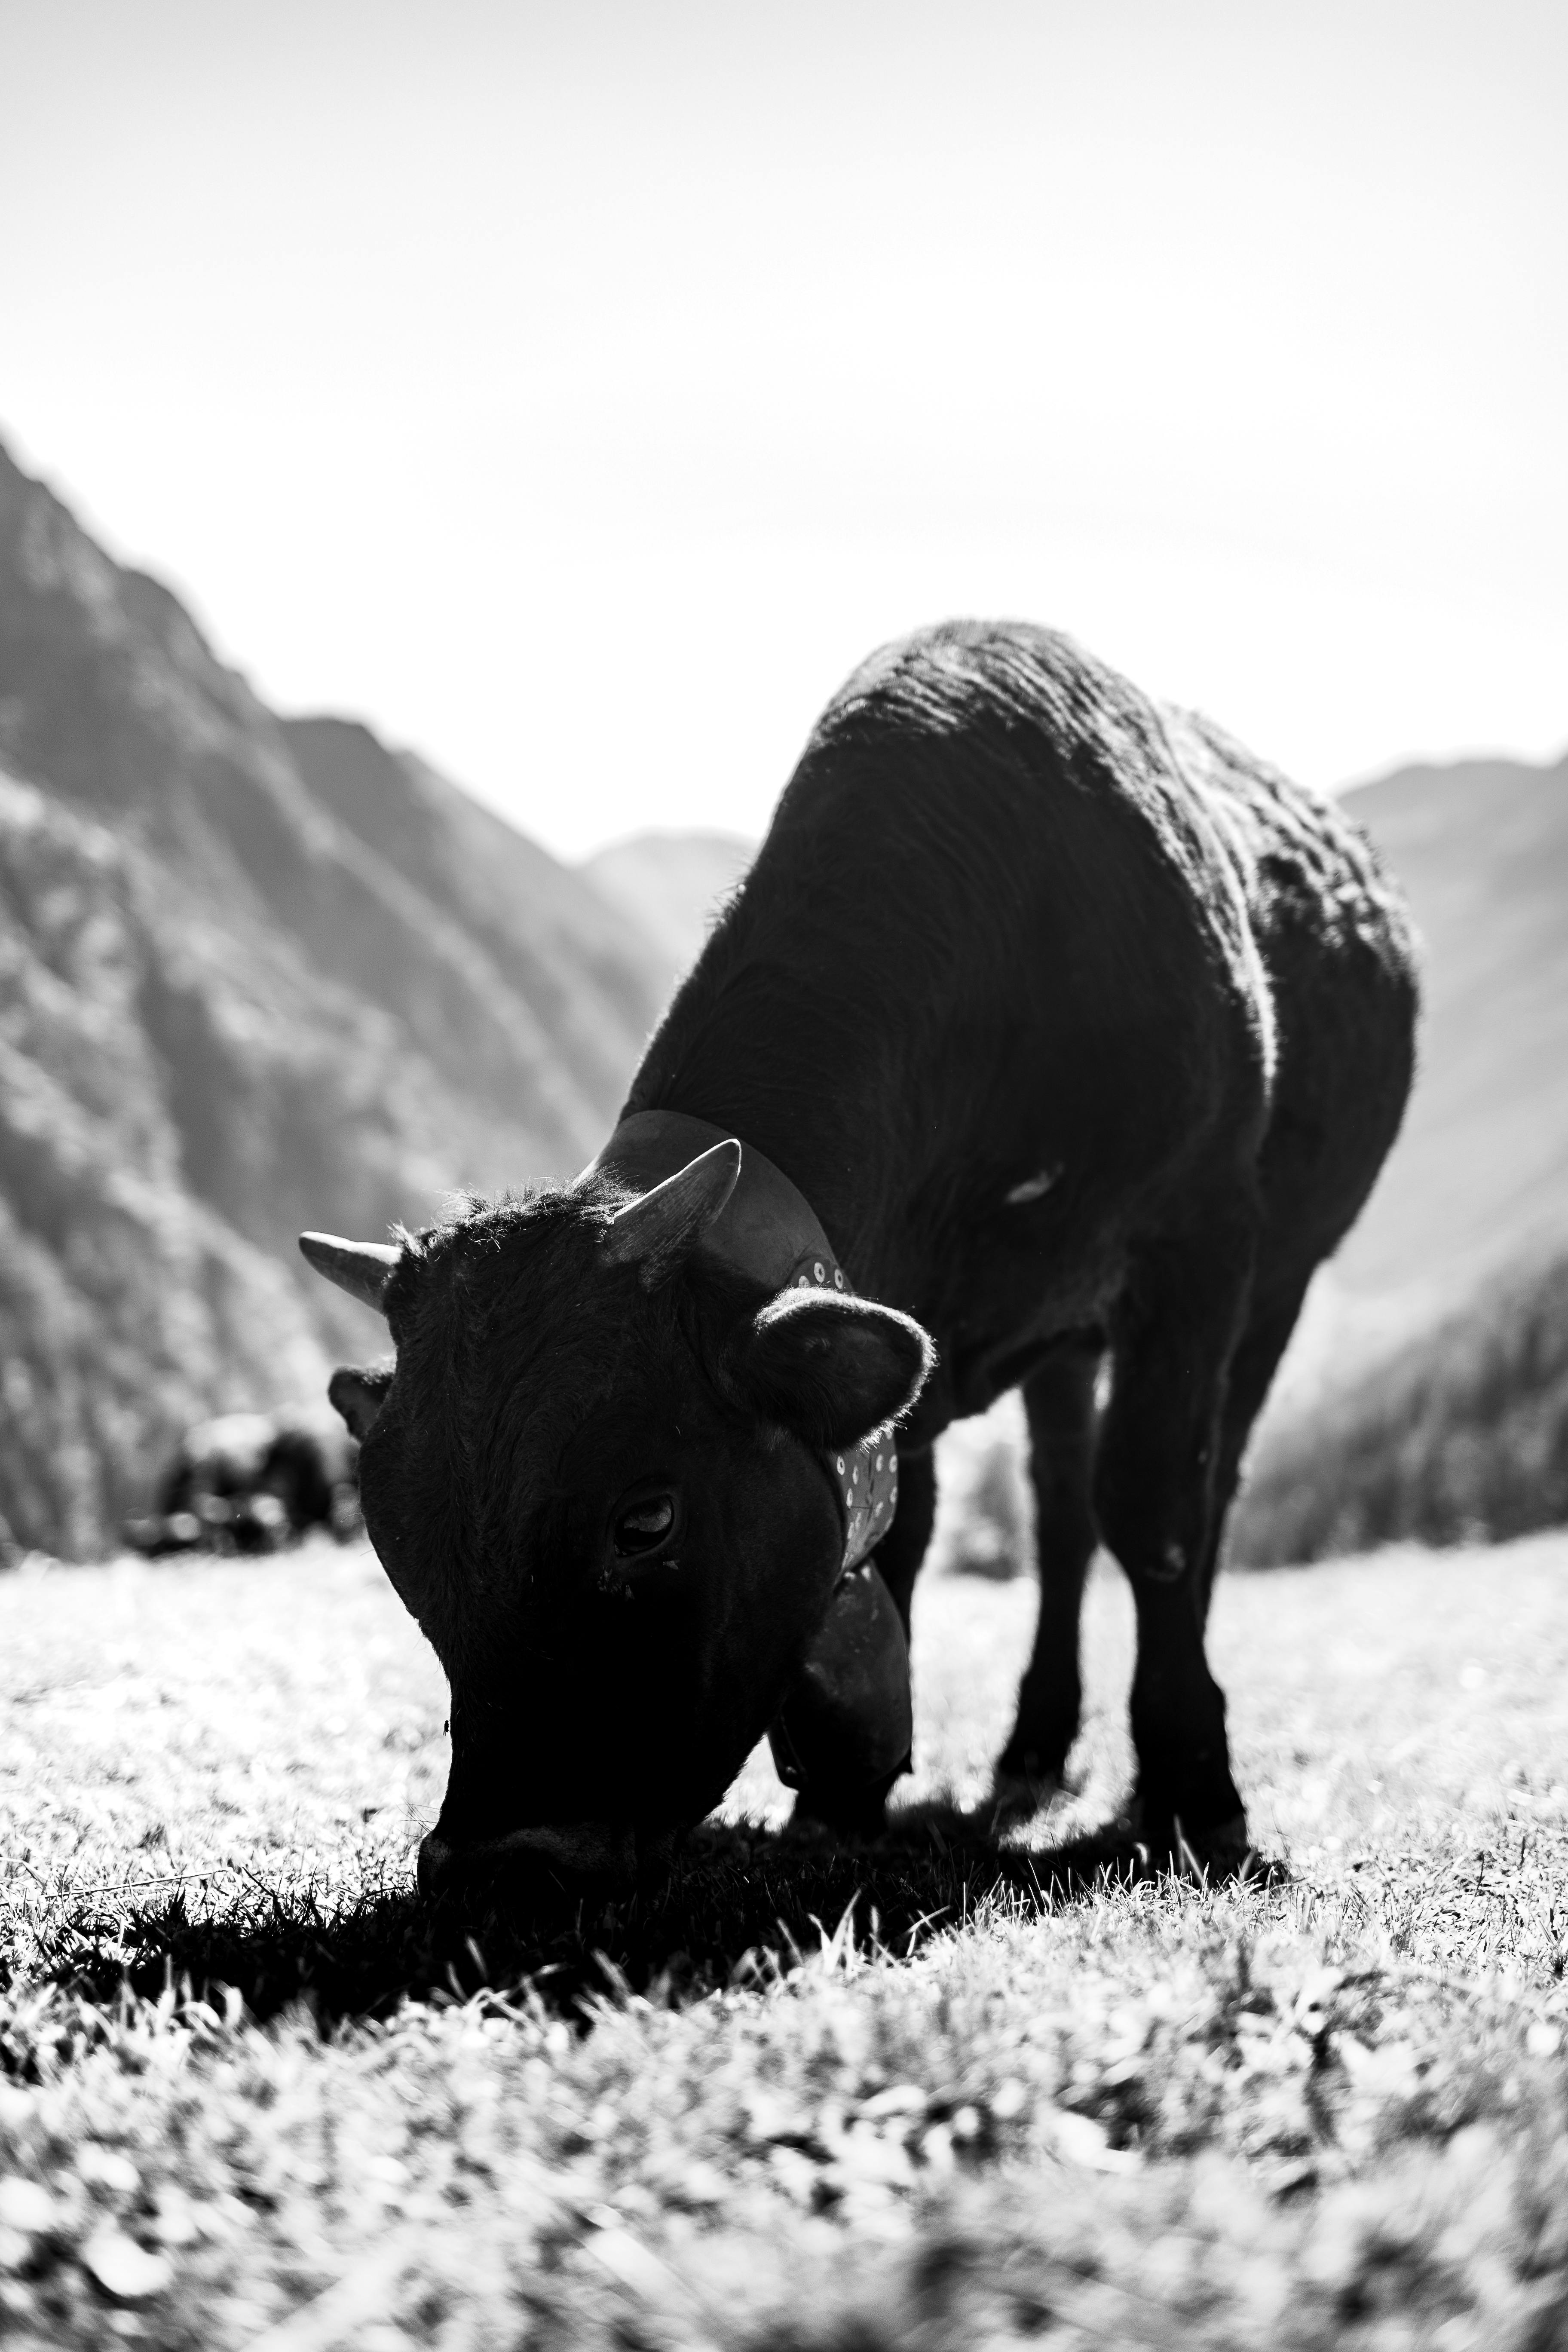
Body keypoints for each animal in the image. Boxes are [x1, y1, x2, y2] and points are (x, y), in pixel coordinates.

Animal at [301, 621, 1418, 1896]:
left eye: (647, 1519)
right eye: (396, 1536)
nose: (502, 1854)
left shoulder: (1201, 1235)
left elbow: (1155, 1507)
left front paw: (1196, 1785)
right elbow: (907, 1526)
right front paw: (844, 1796)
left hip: (1280, 1277)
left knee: (1199, 1483)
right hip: (1069, 1338)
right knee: (1059, 1506)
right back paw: (1034, 1744)